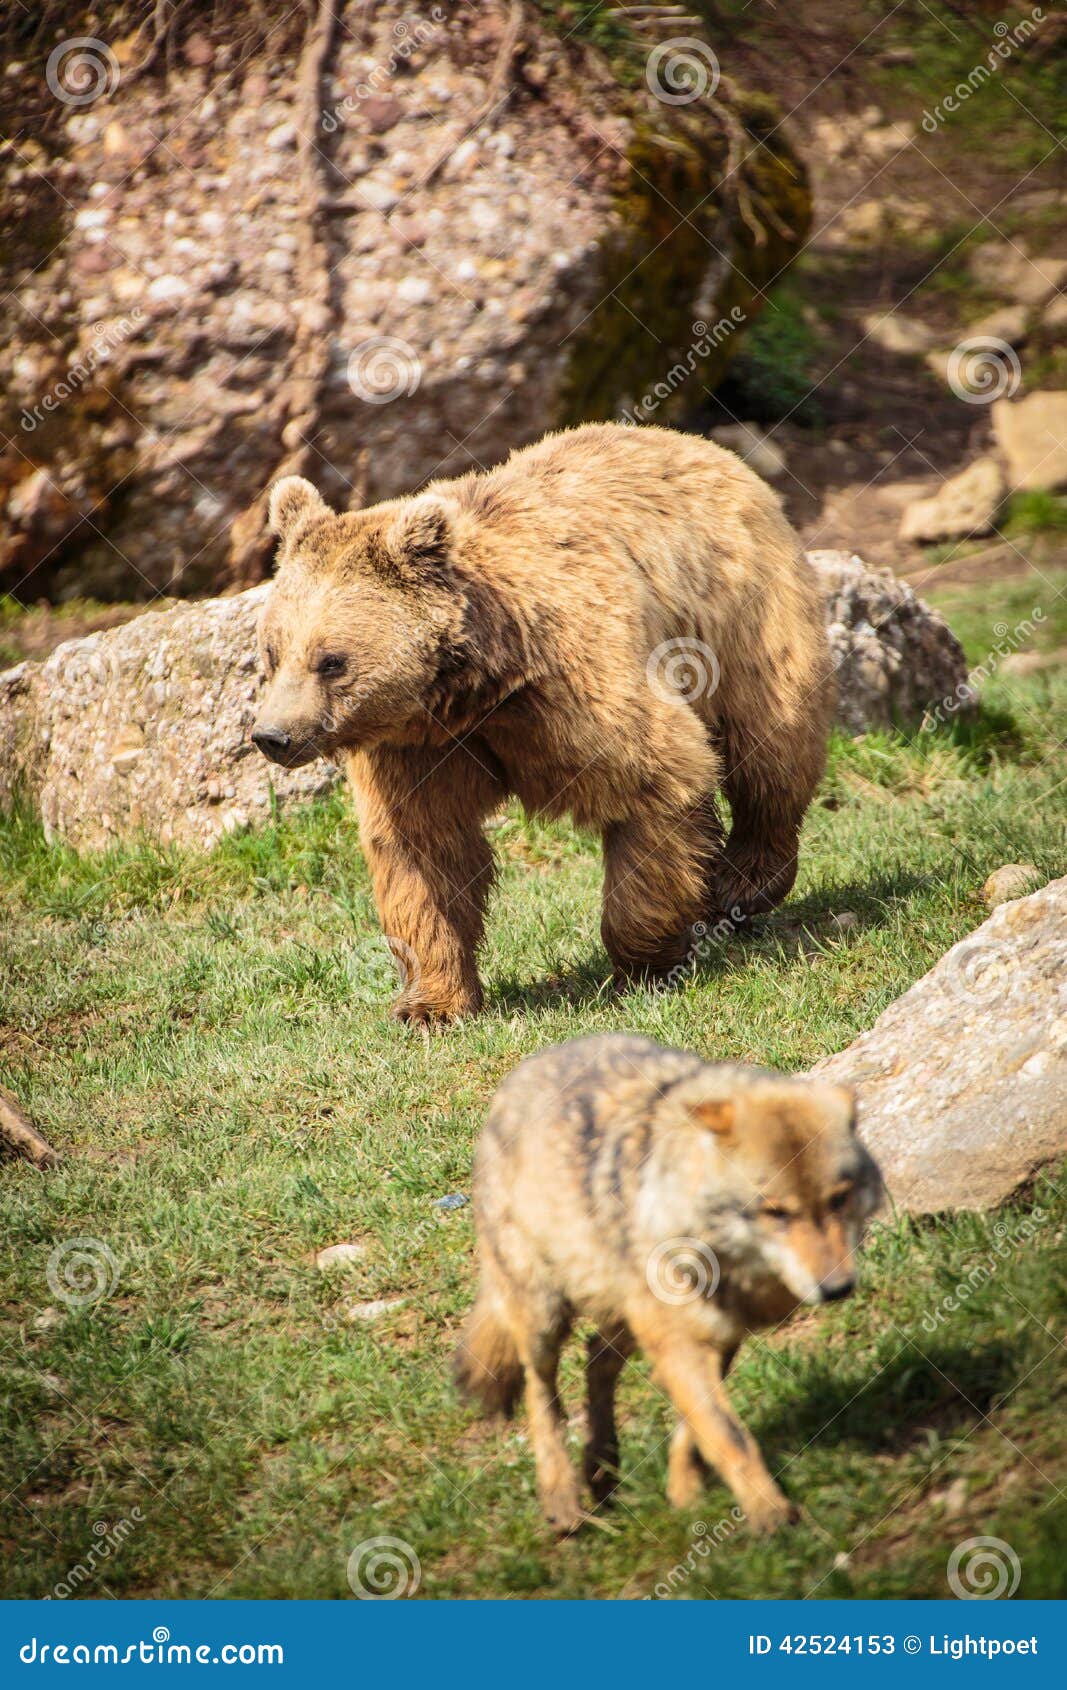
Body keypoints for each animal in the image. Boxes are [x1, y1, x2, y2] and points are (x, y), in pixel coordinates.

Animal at [251, 422, 833, 1023]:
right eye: (271, 652)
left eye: (331, 660)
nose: (273, 736)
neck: (477, 688)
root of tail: (704, 447)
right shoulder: (419, 747)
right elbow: (423, 853)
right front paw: (431, 1004)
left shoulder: (577, 687)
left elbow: (657, 777)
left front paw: (645, 963)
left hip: (742, 622)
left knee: (770, 750)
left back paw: (742, 881)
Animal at [455, 1034, 883, 1535]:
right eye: (776, 1211)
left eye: (839, 1199)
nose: (836, 1289)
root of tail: (525, 1070)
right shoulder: (681, 1342)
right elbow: (727, 1434)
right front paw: (771, 1516)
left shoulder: (720, 1337)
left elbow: (693, 1430)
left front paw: (685, 1493)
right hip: (545, 1316)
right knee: (540, 1394)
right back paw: (563, 1498)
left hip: (626, 1318)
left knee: (595, 1358)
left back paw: (602, 1467)